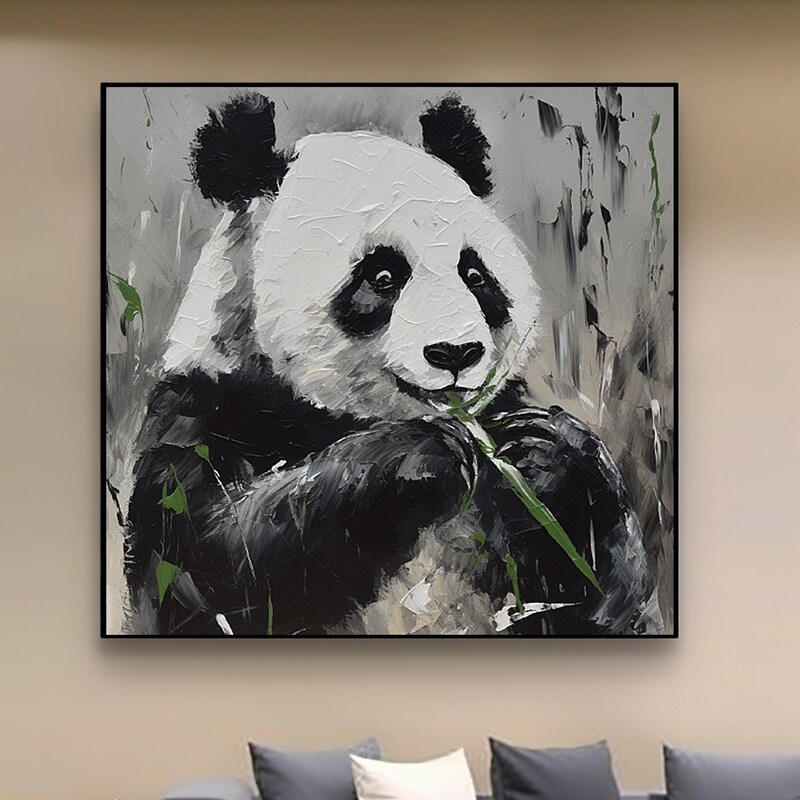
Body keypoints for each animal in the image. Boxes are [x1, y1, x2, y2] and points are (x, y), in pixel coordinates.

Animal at [127, 92, 650, 636]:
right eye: (382, 276)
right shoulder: (206, 409)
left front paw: (548, 450)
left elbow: (594, 592)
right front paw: (424, 454)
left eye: (475, 274)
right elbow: (221, 561)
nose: (456, 353)